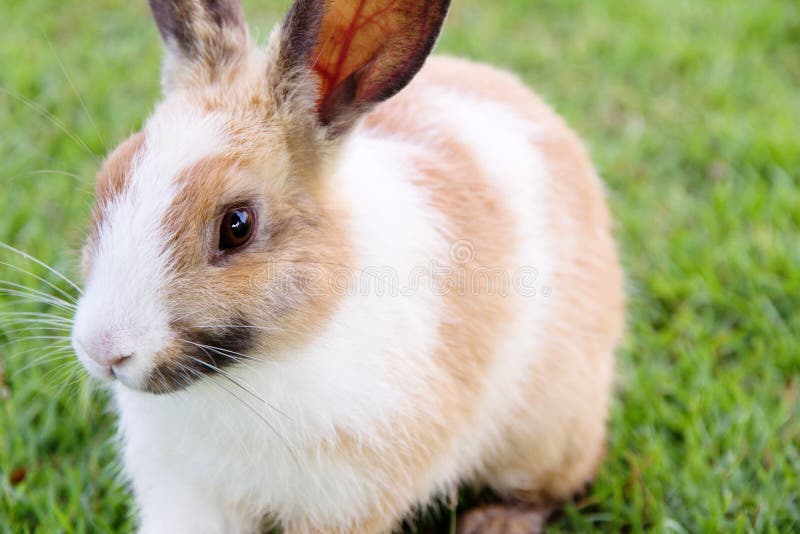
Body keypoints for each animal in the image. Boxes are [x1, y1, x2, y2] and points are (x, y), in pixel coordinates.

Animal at [70, 0, 625, 532]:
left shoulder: (345, 502)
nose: (103, 351)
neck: (258, 367)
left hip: (545, 433)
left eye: (237, 225)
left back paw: (496, 523)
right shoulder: (184, 491)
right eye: (108, 180)